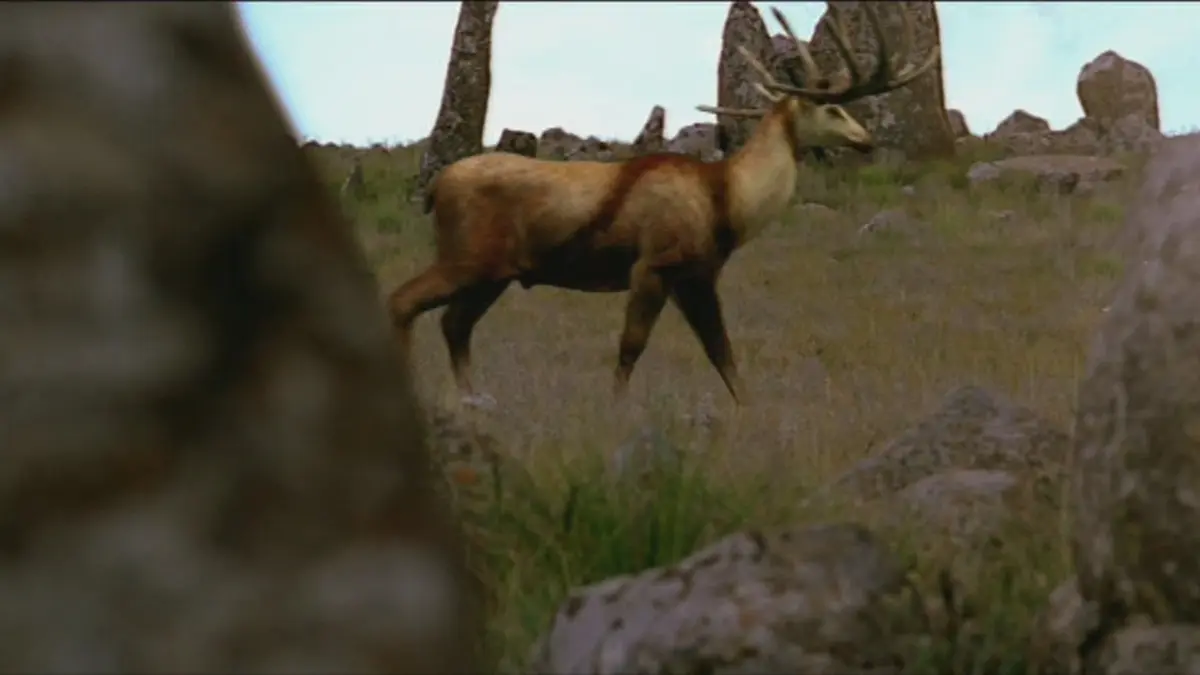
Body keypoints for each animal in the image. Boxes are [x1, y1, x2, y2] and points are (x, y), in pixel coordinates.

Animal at [389, 2, 940, 406]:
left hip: (496, 272)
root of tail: (435, 189)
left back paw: (472, 397)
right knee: (405, 301)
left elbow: (723, 354)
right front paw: (615, 411)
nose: (867, 139)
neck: (727, 201)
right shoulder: (657, 261)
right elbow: (631, 349)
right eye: (832, 108)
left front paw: (749, 413)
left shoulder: (696, 273)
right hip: (468, 255)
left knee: (453, 324)